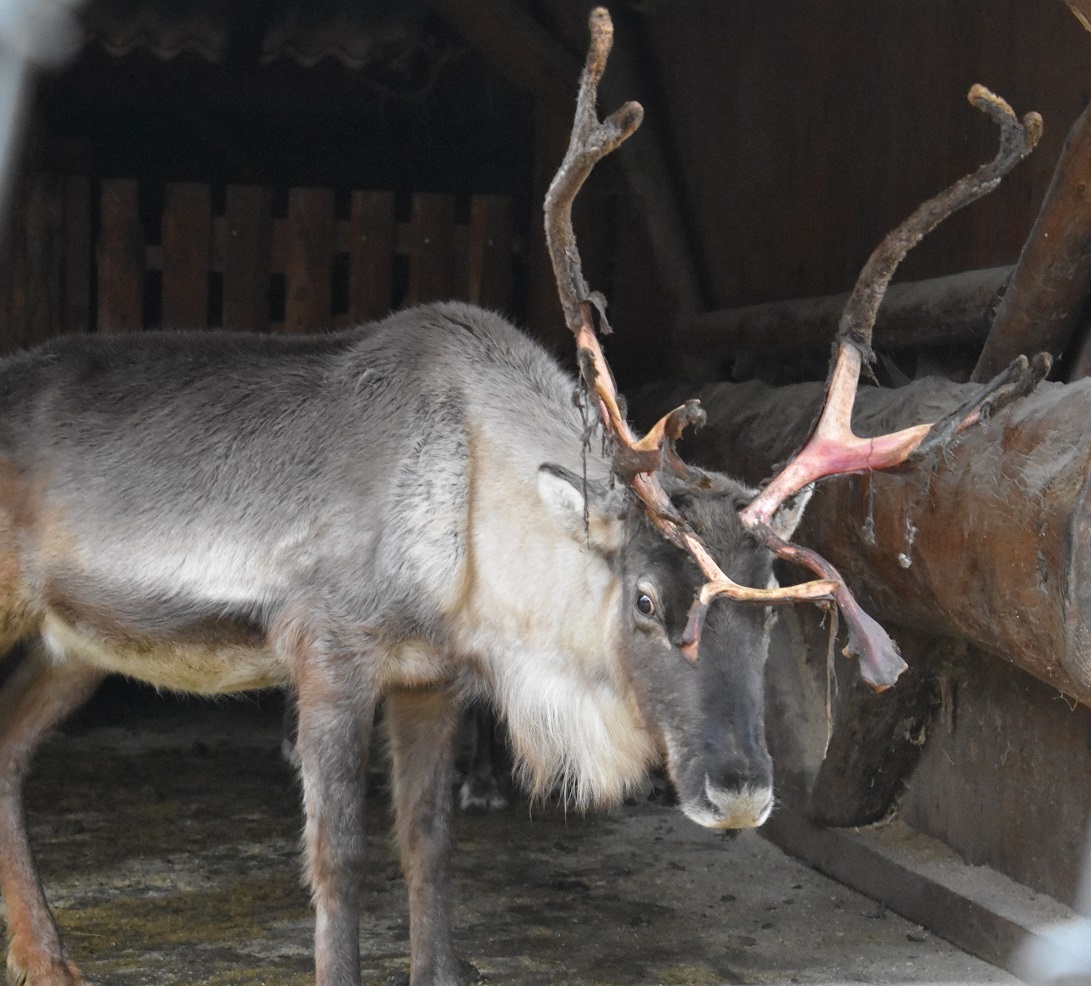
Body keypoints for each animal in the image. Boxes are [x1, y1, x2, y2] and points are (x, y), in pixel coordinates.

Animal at [0, 9, 1046, 986]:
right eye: (645, 599)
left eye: (771, 613)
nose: (741, 792)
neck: (472, 525)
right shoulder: (328, 651)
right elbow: (338, 859)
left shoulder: (428, 679)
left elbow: (428, 846)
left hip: (71, 641)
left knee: (7, 751)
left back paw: (53, 961)